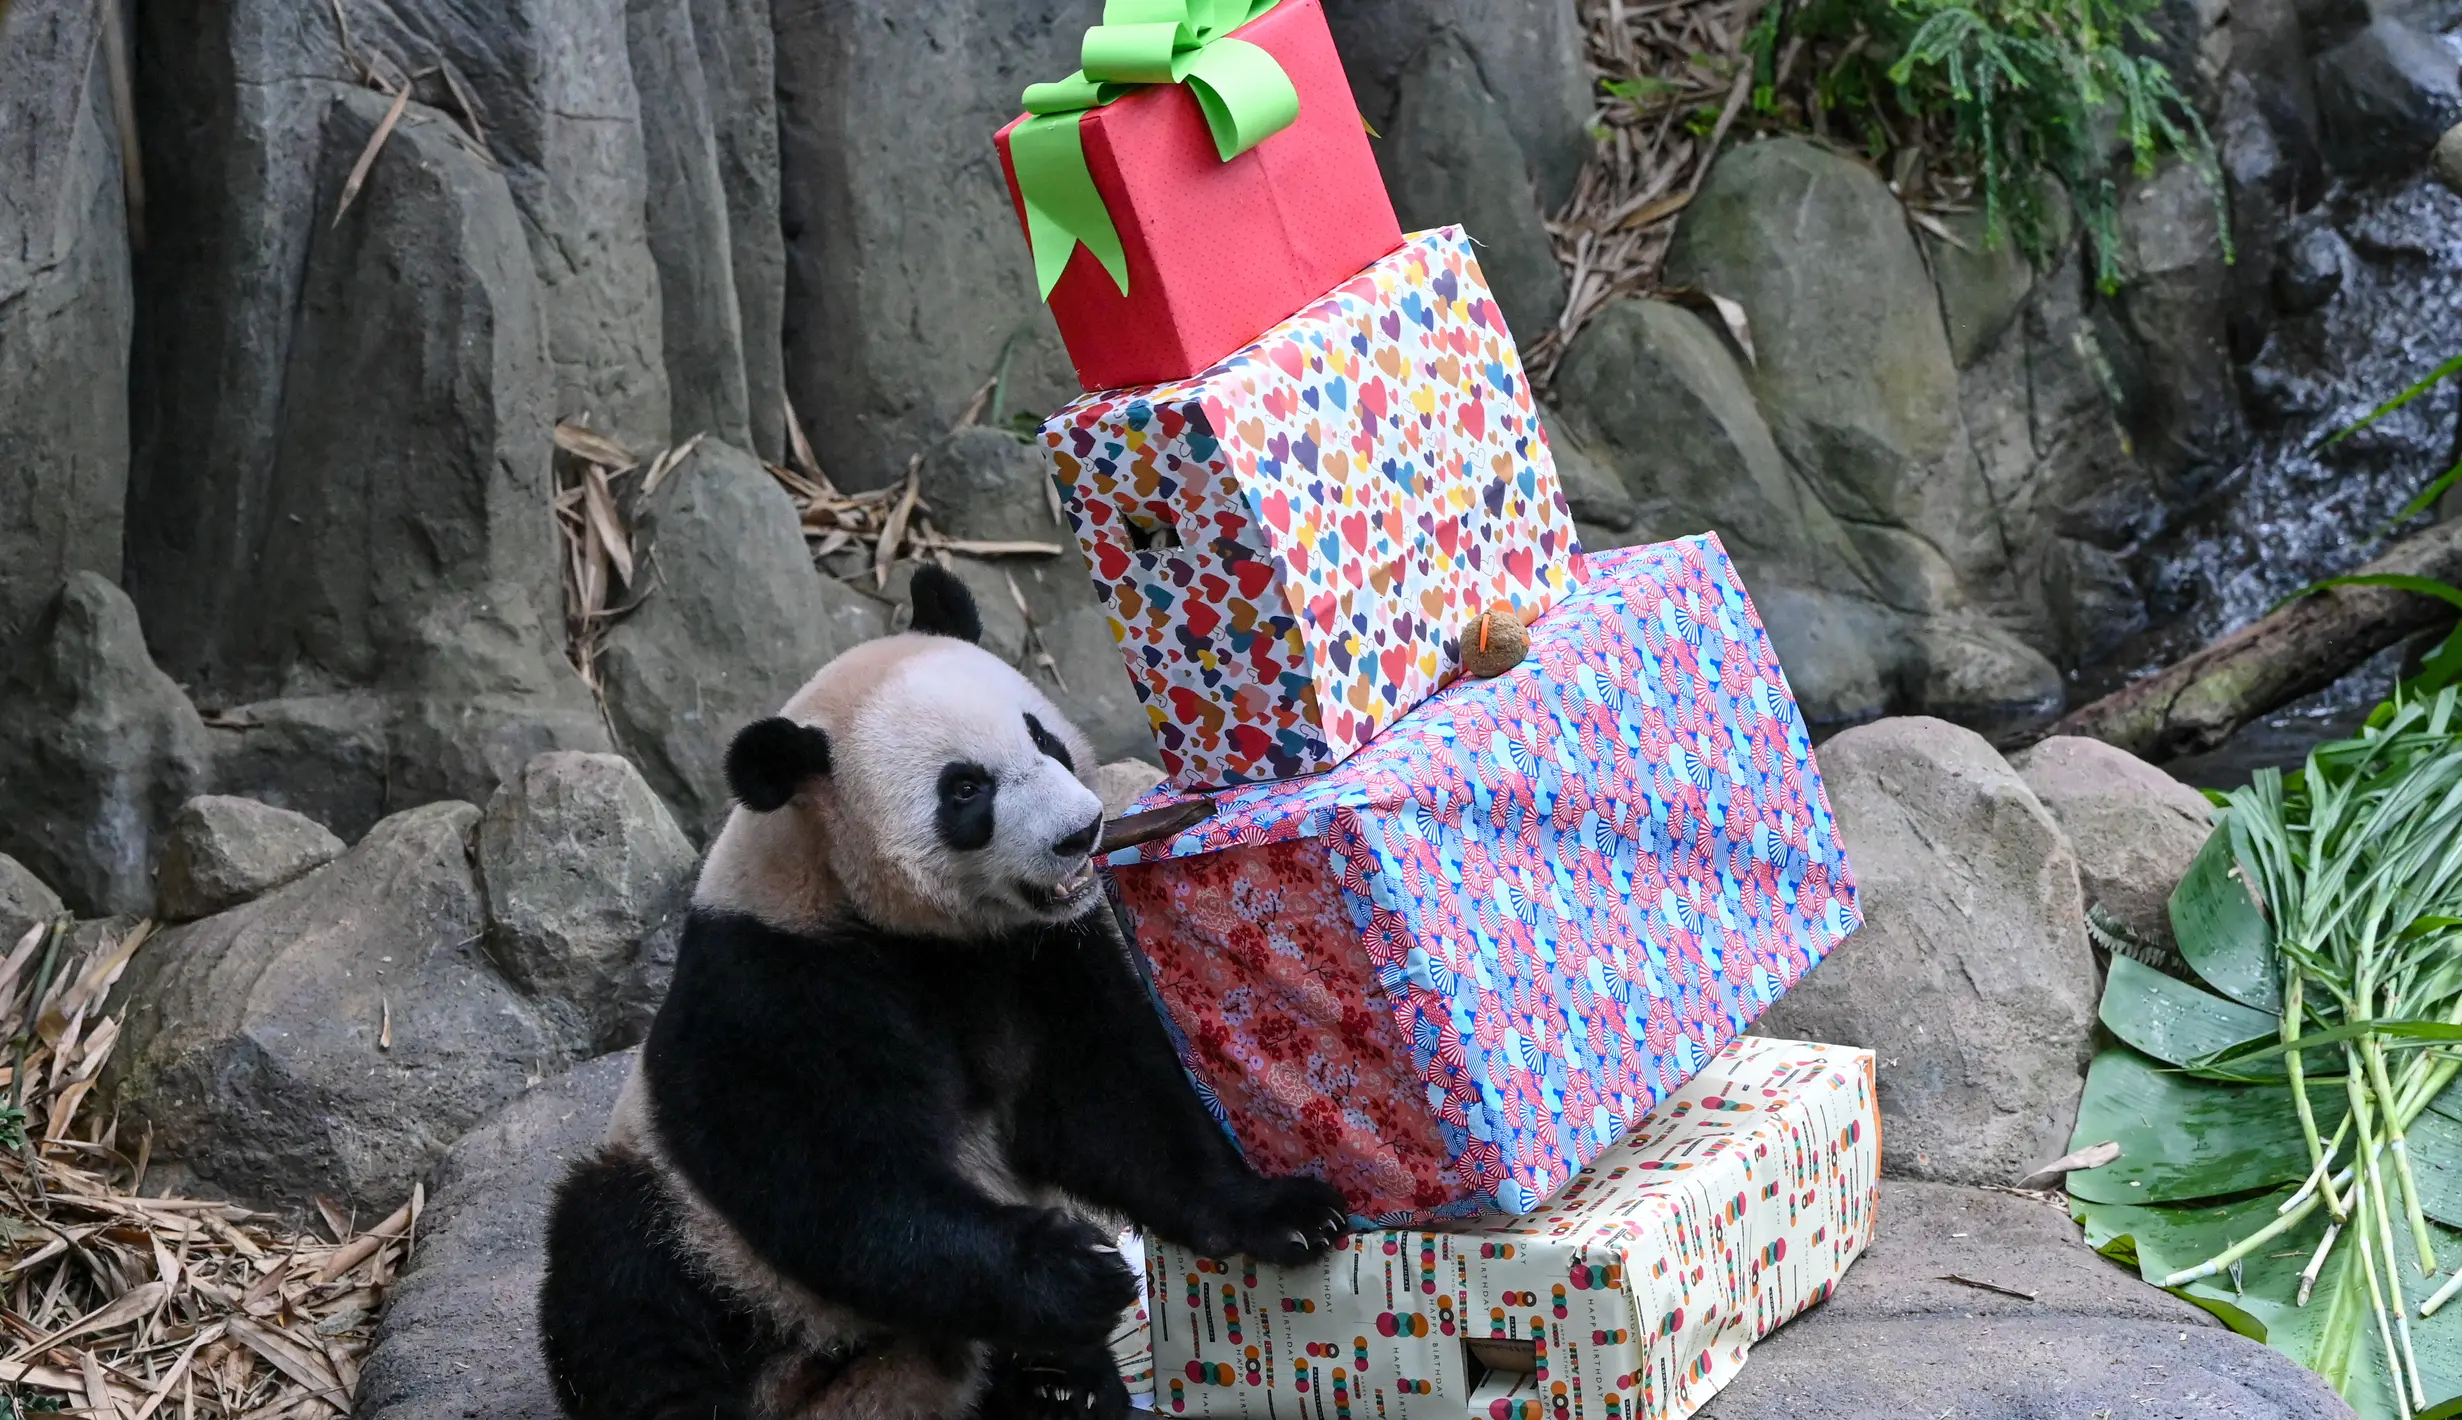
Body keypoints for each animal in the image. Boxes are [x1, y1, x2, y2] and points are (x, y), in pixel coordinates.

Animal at [538, 564, 1350, 1420]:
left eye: (1041, 737)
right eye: (965, 790)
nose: (1081, 832)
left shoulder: (1034, 960)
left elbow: (1111, 1106)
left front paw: (1288, 1214)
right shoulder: (772, 987)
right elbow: (840, 1183)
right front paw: (1076, 1269)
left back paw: (1054, 1386)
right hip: (688, 1222)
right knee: (621, 1290)